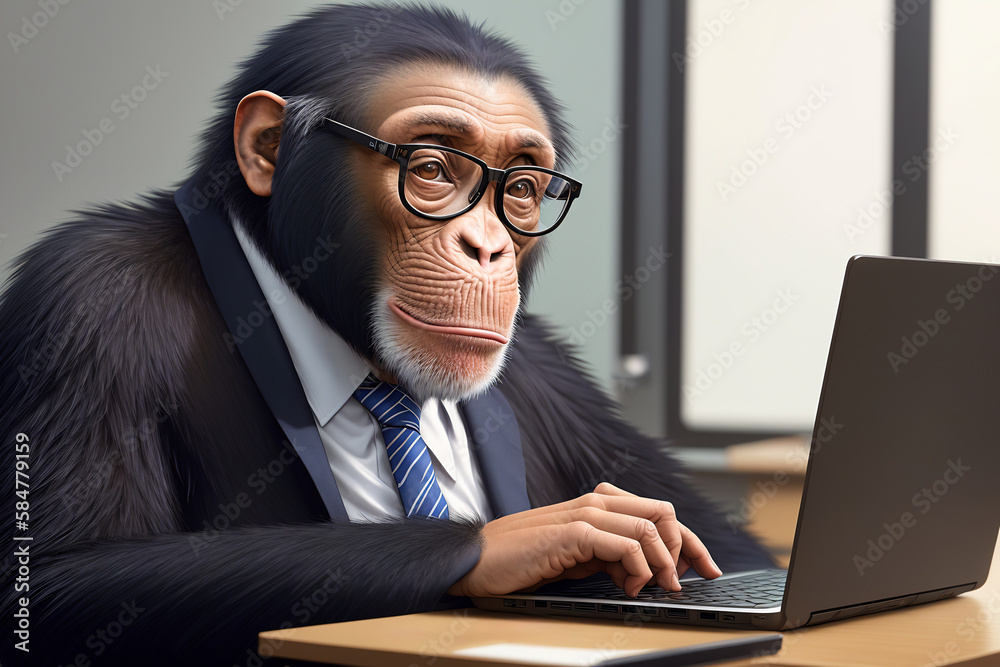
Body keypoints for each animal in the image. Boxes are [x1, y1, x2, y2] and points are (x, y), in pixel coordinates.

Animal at [0, 4, 773, 665]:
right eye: (432, 168)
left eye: (522, 188)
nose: (488, 248)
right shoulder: (88, 306)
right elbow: (63, 577)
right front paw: (537, 534)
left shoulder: (552, 374)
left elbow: (734, 542)